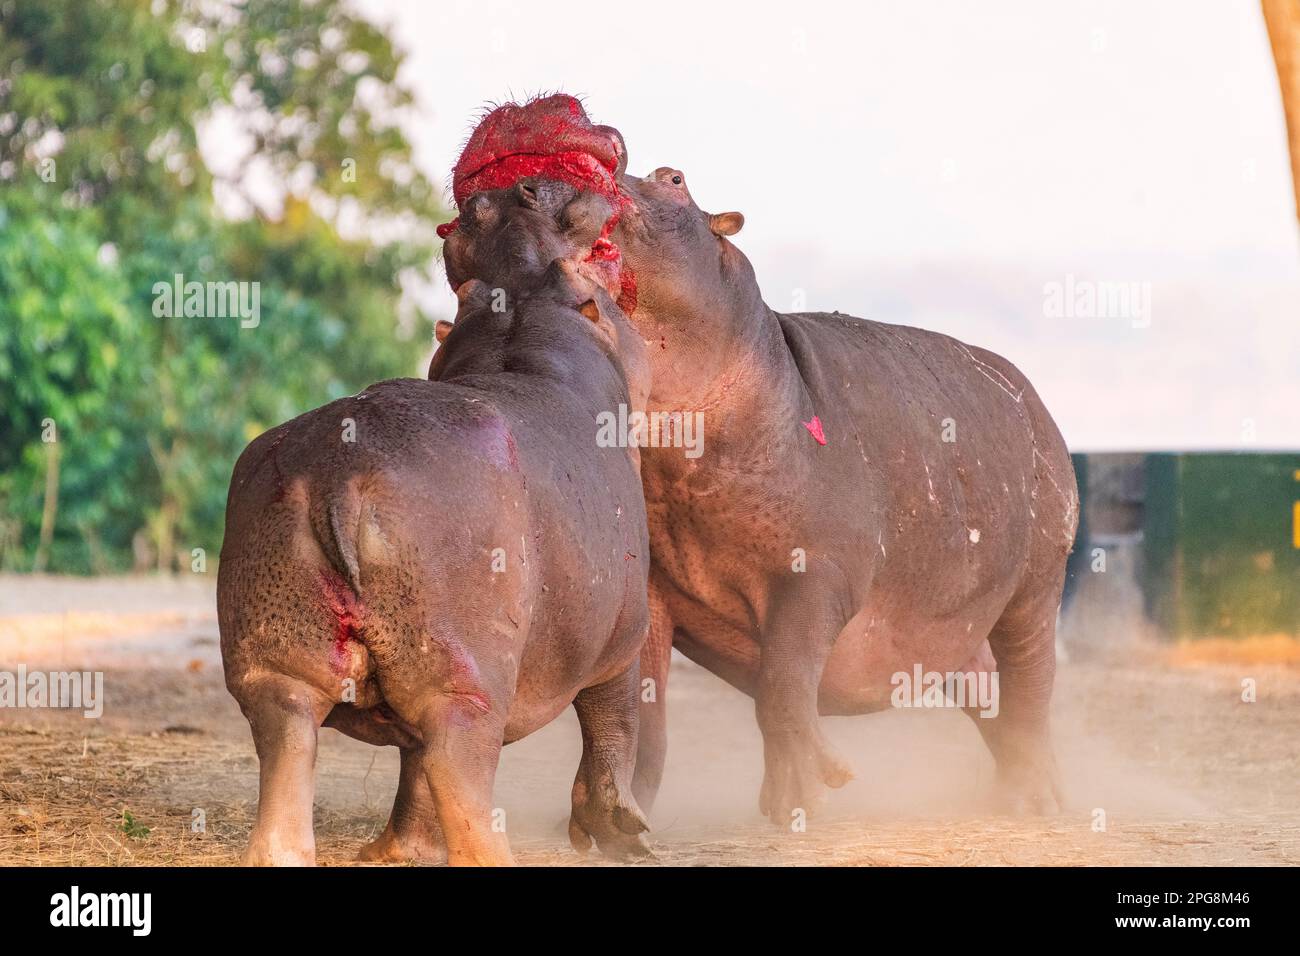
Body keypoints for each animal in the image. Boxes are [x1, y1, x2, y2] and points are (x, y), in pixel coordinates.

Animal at [217, 187, 653, 865]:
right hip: (463, 690)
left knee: (292, 773)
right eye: (596, 267)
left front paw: (401, 850)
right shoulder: (623, 636)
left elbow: (413, 771)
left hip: (277, 669)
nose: (517, 193)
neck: (520, 324)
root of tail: (341, 469)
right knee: (464, 786)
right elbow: (614, 720)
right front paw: (622, 832)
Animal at [439, 95, 1079, 825]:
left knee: (1030, 684)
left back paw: (1035, 800)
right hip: (956, 632)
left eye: (675, 178)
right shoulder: (653, 592)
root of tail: (1029, 391)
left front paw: (801, 799)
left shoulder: (818, 575)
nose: (517, 187)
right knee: (989, 692)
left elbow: (785, 682)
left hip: (1036, 585)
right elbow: (649, 712)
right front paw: (636, 806)